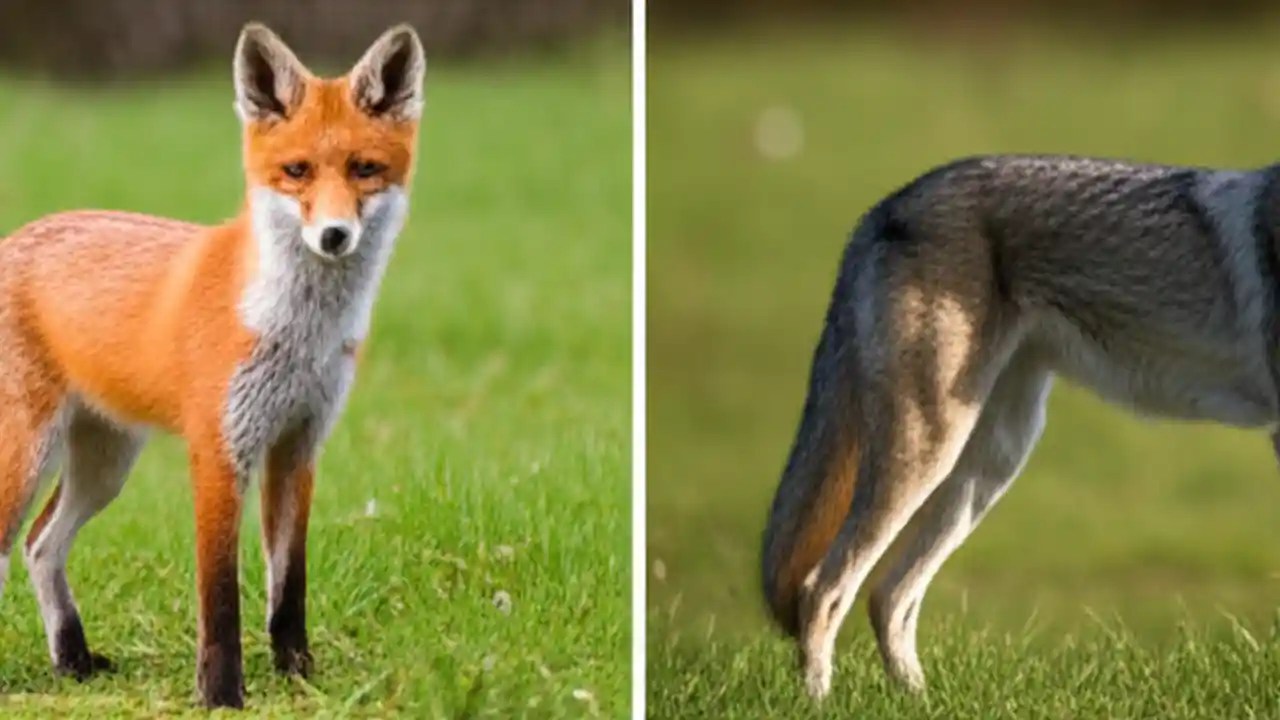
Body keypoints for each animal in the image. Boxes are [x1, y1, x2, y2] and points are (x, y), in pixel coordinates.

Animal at [0, 22, 425, 708]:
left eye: (364, 169)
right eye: (297, 172)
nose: (334, 236)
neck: (296, 330)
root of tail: (15, 236)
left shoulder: (298, 445)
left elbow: (288, 586)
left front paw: (297, 673)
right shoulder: (221, 448)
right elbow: (220, 594)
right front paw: (222, 695)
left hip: (106, 465)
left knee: (42, 545)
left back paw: (73, 661)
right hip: (28, 456)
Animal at [761, 154, 1280, 699]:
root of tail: (884, 207)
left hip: (988, 465)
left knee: (888, 596)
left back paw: (923, 700)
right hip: (929, 452)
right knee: (824, 590)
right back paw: (820, 702)